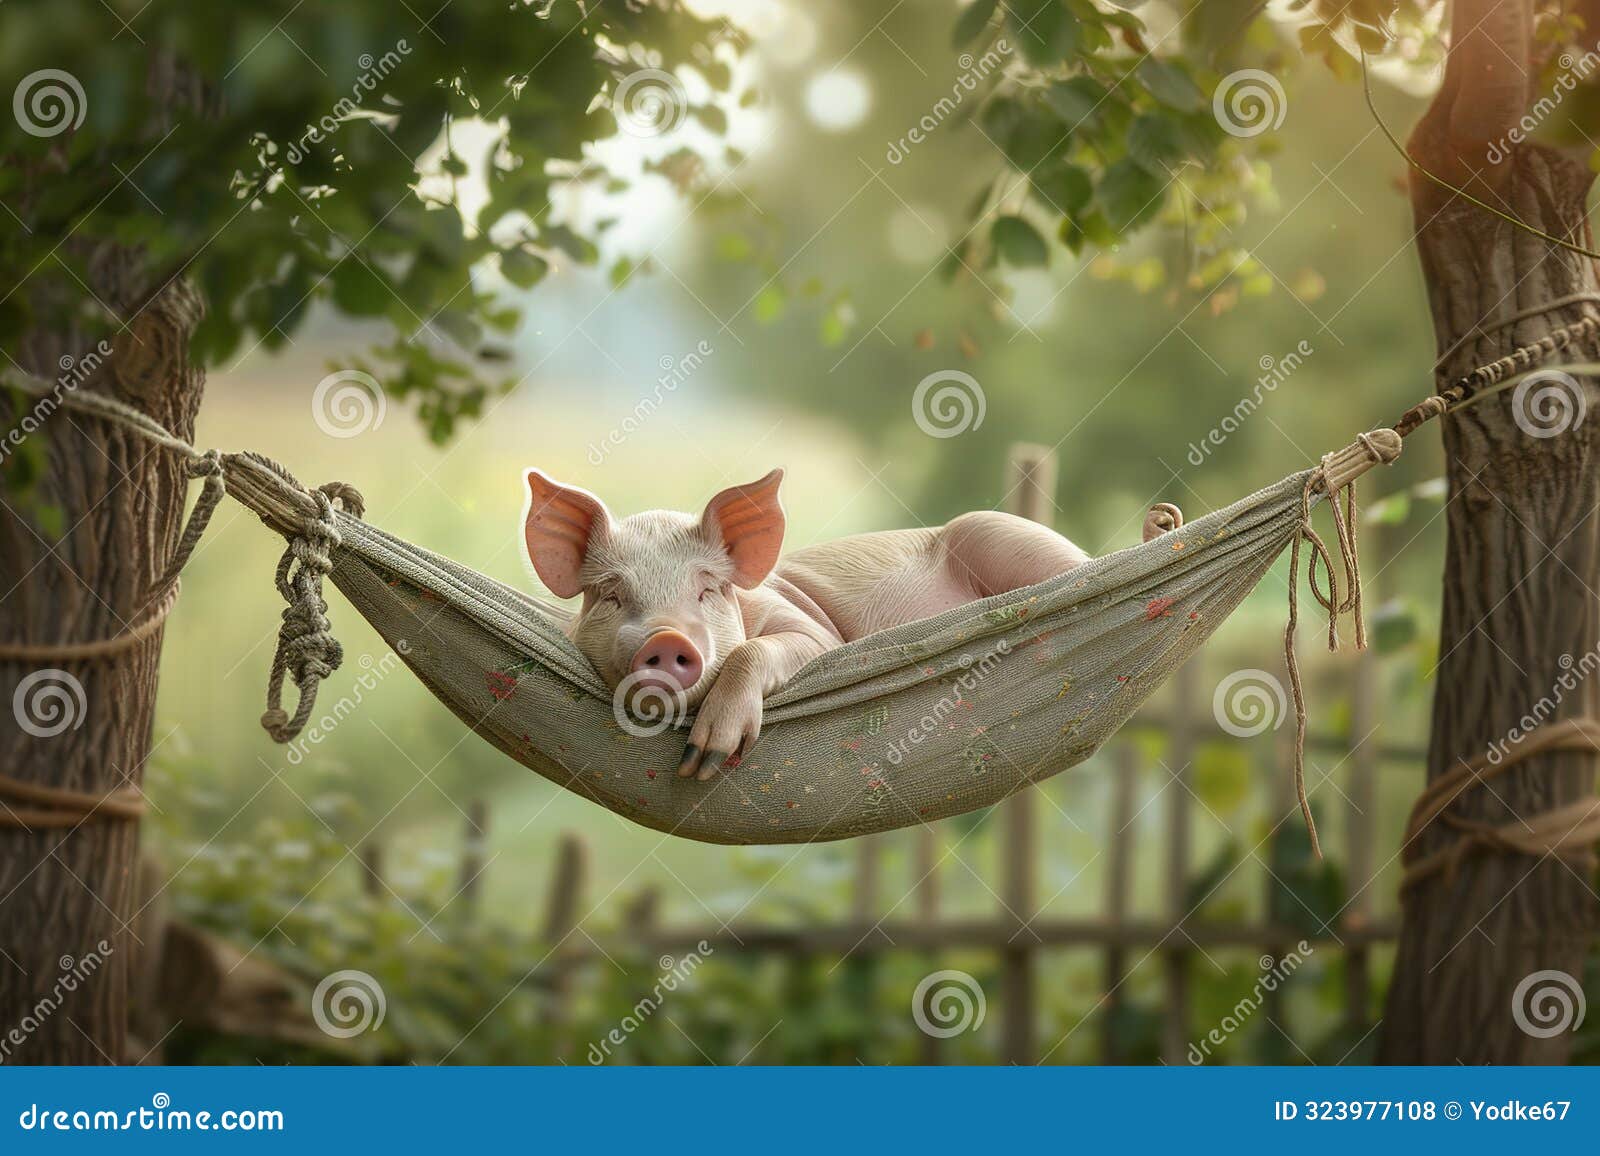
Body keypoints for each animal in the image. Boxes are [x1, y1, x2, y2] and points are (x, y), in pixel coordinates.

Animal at [523, 468, 1181, 780]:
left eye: (708, 590)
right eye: (611, 595)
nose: (666, 638)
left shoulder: (811, 631)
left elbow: (763, 649)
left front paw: (703, 762)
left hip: (1001, 534)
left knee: (1090, 567)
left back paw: (1162, 526)